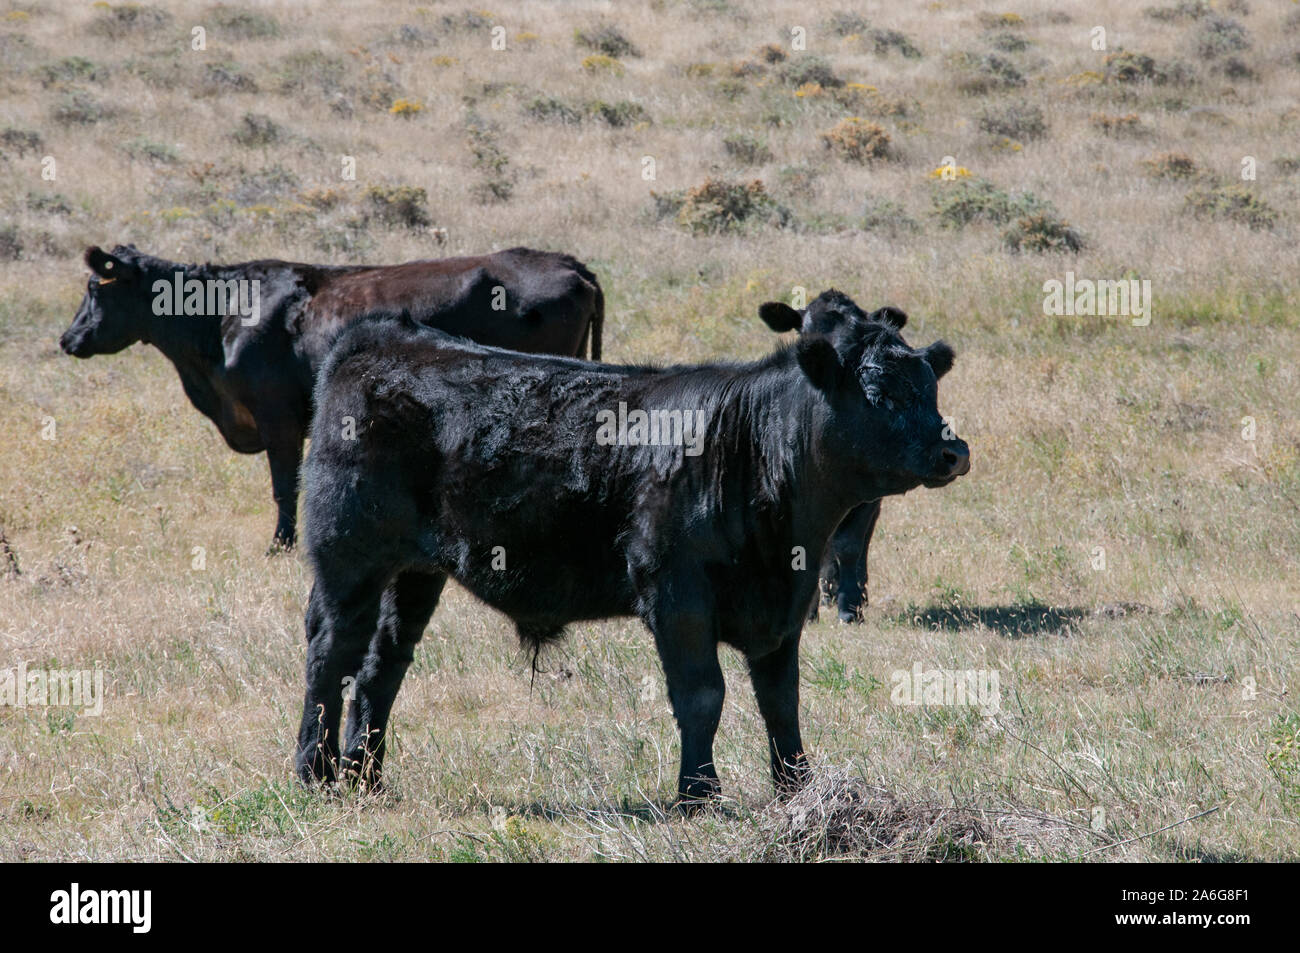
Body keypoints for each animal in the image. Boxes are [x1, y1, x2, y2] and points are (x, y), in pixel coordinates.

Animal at [58, 244, 604, 550]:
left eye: (95, 287)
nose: (68, 338)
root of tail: (568, 263)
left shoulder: (276, 417)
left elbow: (285, 486)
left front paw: (280, 545)